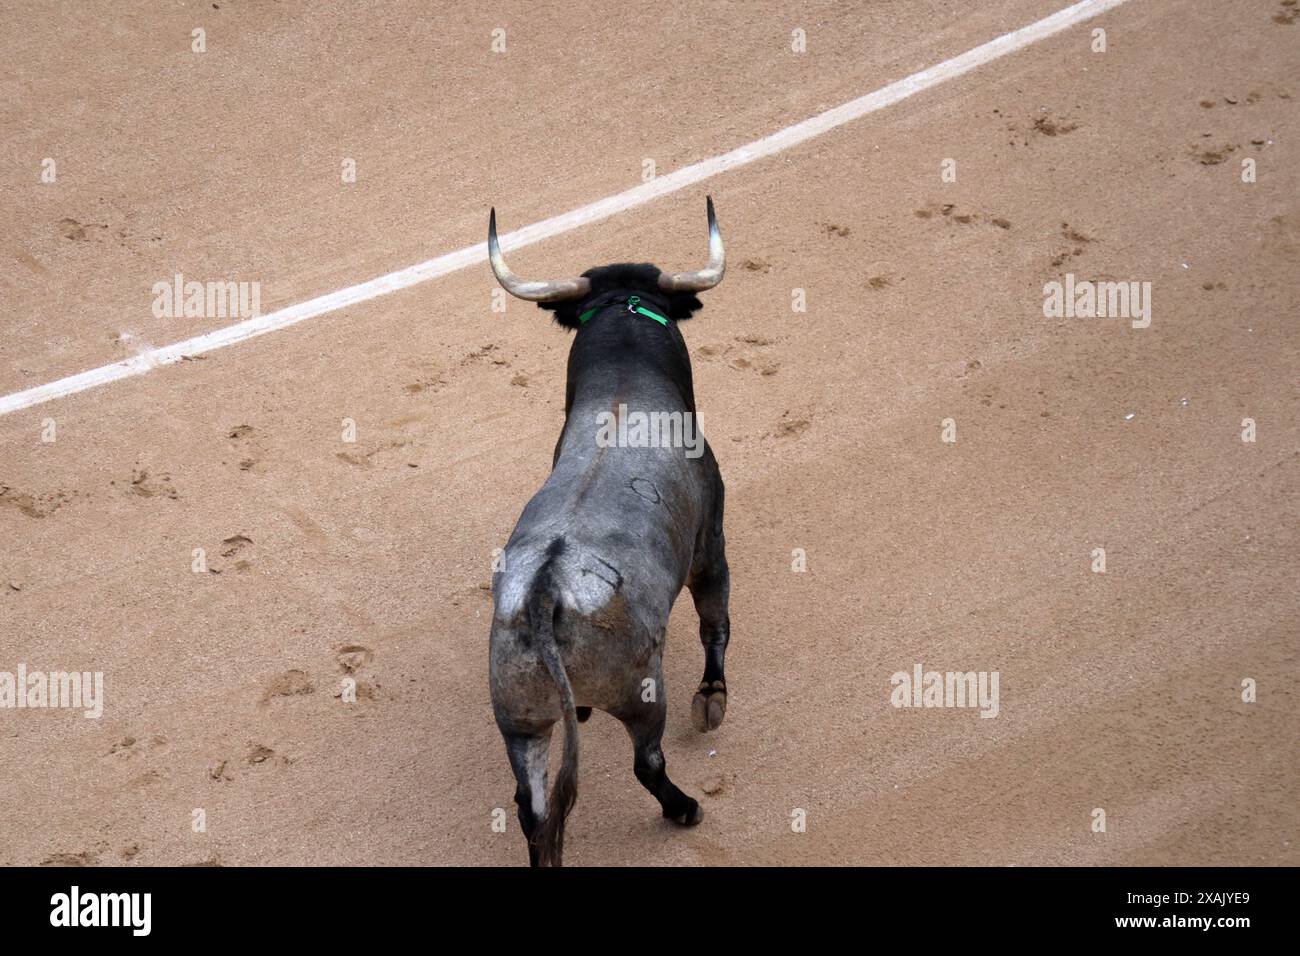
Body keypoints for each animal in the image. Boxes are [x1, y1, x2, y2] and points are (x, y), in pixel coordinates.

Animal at [486, 198, 733, 867]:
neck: (625, 376)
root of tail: (545, 594)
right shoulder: (711, 545)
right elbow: (716, 620)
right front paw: (714, 698)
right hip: (642, 694)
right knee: (647, 762)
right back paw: (685, 809)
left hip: (519, 723)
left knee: (532, 807)